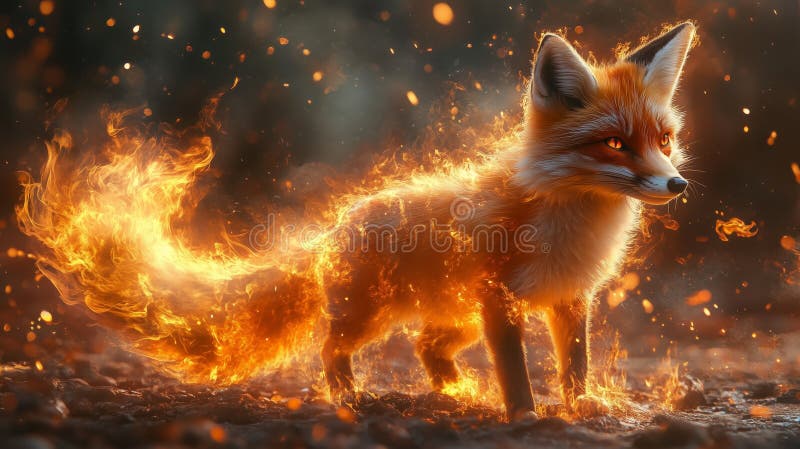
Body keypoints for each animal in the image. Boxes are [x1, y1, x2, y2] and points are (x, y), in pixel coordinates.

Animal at [318, 22, 696, 420]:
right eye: (615, 143)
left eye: (665, 140)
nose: (678, 184)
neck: (569, 229)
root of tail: (336, 224)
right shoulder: (499, 298)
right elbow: (514, 369)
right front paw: (523, 413)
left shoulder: (571, 295)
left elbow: (576, 362)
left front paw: (579, 402)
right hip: (373, 318)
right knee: (332, 348)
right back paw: (347, 395)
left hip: (463, 320)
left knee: (426, 345)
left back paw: (457, 394)